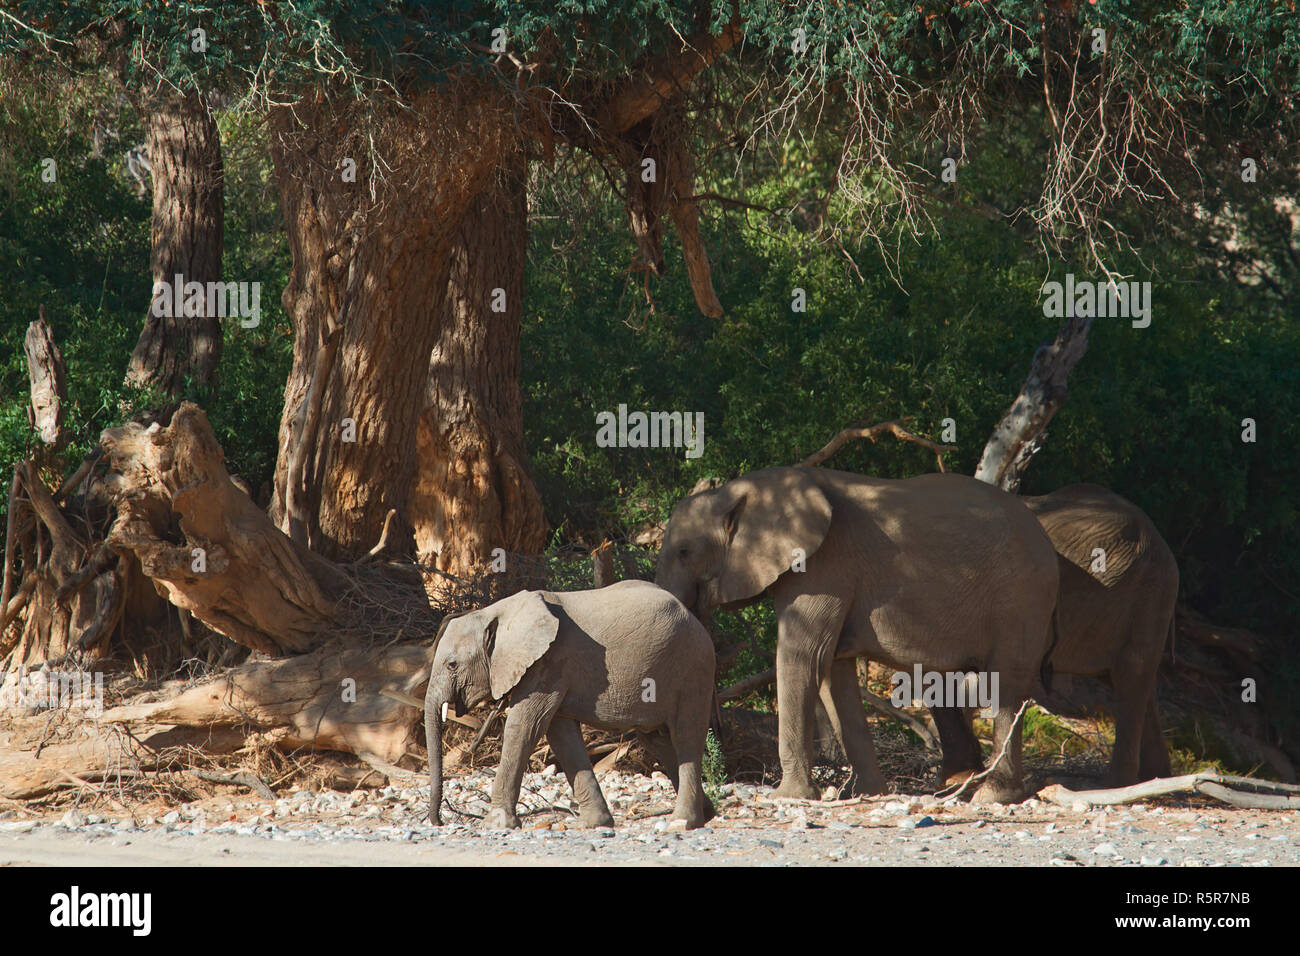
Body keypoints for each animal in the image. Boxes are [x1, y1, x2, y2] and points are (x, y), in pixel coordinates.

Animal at [424, 579, 716, 830]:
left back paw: (682, 822)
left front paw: (495, 825)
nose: (439, 822)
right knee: (659, 741)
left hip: (692, 668)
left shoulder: (548, 662)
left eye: (452, 665)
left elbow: (525, 727)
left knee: (685, 737)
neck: (496, 612)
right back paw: (707, 814)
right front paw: (595, 823)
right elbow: (560, 732)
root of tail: (697, 622)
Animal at [655, 466, 1060, 804]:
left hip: (1022, 598)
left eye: (684, 551)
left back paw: (992, 797)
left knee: (1006, 683)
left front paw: (790, 797)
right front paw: (864, 794)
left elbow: (804, 656)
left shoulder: (823, 565)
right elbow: (833, 669)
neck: (739, 489)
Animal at [931, 484, 1177, 787]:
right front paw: (957, 778)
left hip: (1149, 594)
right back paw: (1156, 778)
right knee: (1133, 680)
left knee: (1131, 675)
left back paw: (1115, 785)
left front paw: (959, 779)